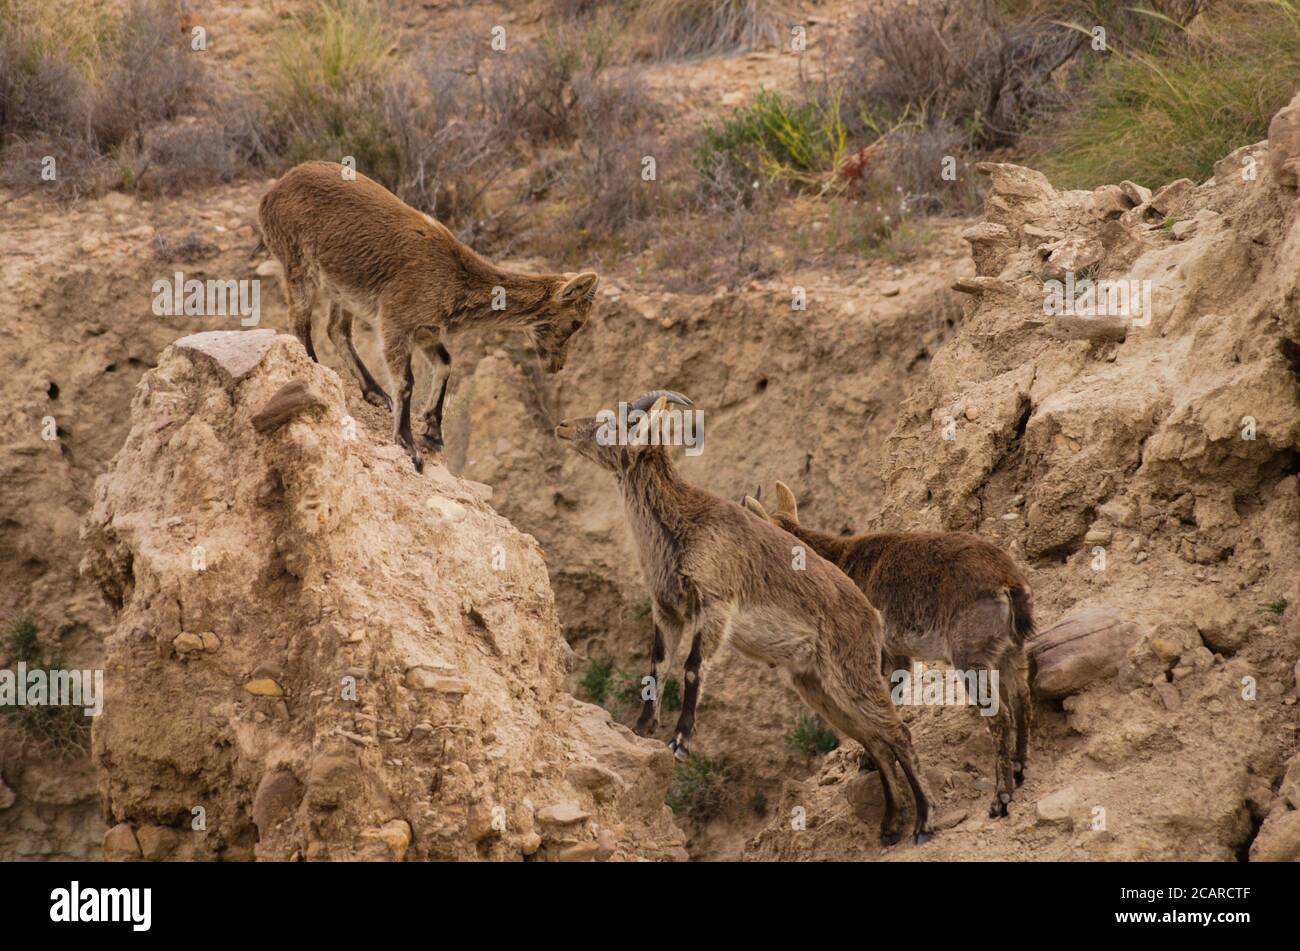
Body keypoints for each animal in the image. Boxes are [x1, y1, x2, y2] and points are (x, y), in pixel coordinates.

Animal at [258, 161, 600, 471]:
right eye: (575, 322)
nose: (556, 365)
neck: (456, 278)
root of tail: (271, 195)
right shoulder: (396, 321)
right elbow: (406, 381)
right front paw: (409, 445)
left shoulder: (425, 329)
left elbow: (446, 363)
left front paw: (433, 432)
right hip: (298, 263)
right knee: (300, 321)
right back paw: (315, 370)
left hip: (341, 288)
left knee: (336, 329)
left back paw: (375, 393)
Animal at [555, 392, 936, 845]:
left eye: (618, 421)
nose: (563, 426)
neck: (682, 525)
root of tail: (871, 617)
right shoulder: (668, 609)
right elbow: (657, 668)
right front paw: (641, 731)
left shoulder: (716, 603)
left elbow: (692, 669)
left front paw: (680, 742)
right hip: (817, 685)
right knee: (876, 741)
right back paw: (891, 826)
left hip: (850, 671)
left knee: (898, 734)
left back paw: (924, 822)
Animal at [744, 482, 1036, 818]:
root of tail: (1008, 583)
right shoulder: (896, 654)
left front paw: (866, 761)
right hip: (1009, 650)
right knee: (1022, 696)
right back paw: (1019, 766)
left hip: (970, 654)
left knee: (999, 715)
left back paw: (1000, 798)